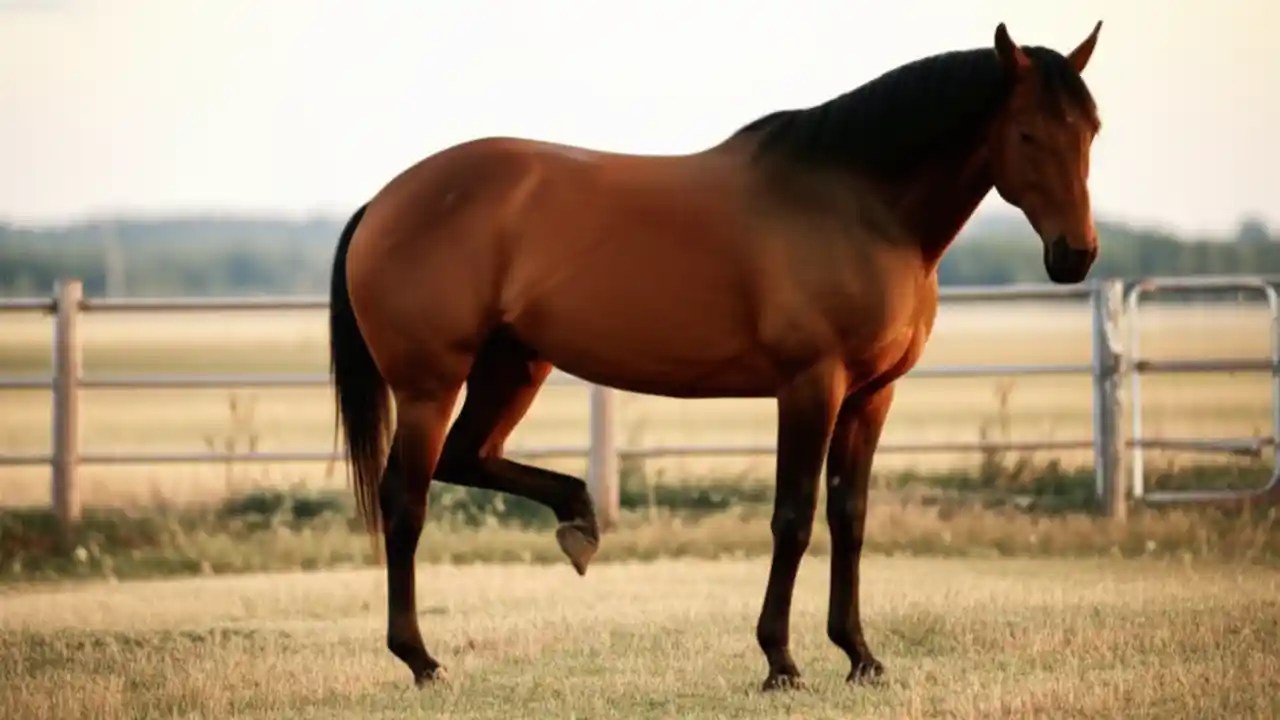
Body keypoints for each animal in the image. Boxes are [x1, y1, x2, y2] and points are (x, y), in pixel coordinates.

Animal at [328, 21, 1104, 691]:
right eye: (1027, 132)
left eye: (1092, 130)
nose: (1076, 255)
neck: (858, 205)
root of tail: (383, 201)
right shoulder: (811, 385)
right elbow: (793, 517)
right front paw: (780, 663)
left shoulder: (871, 395)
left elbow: (849, 517)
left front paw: (860, 656)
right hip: (430, 386)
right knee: (407, 503)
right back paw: (421, 658)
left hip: (515, 366)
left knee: (468, 457)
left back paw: (579, 522)